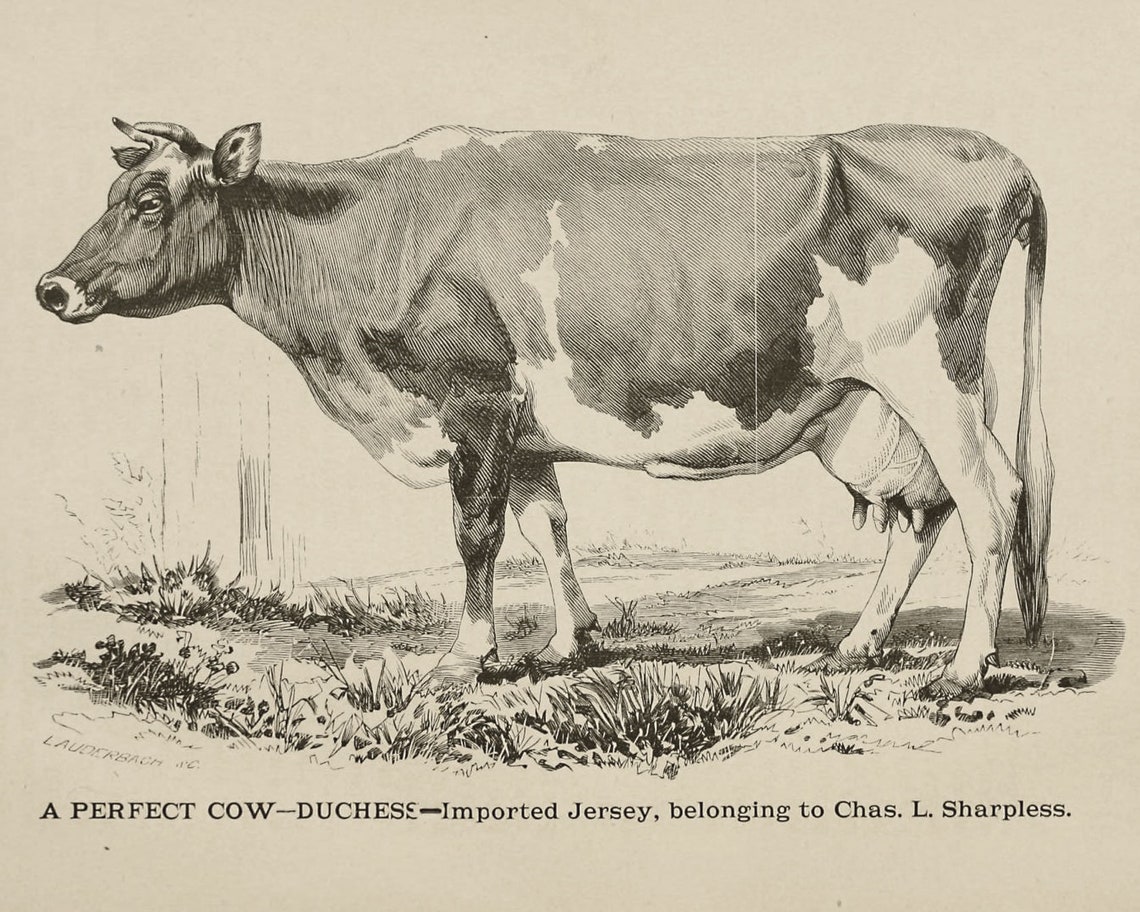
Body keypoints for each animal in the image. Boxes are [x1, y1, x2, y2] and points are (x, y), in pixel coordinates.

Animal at [37, 118, 1052, 698]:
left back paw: (965, 668)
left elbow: (477, 532)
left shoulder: (475, 401)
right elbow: (548, 524)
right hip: (862, 406)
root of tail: (999, 156)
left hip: (933, 375)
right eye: (114, 192)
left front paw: (466, 656)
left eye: (151, 201)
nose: (51, 287)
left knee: (992, 496)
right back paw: (860, 643)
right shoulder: (522, 430)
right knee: (924, 509)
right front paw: (570, 642)